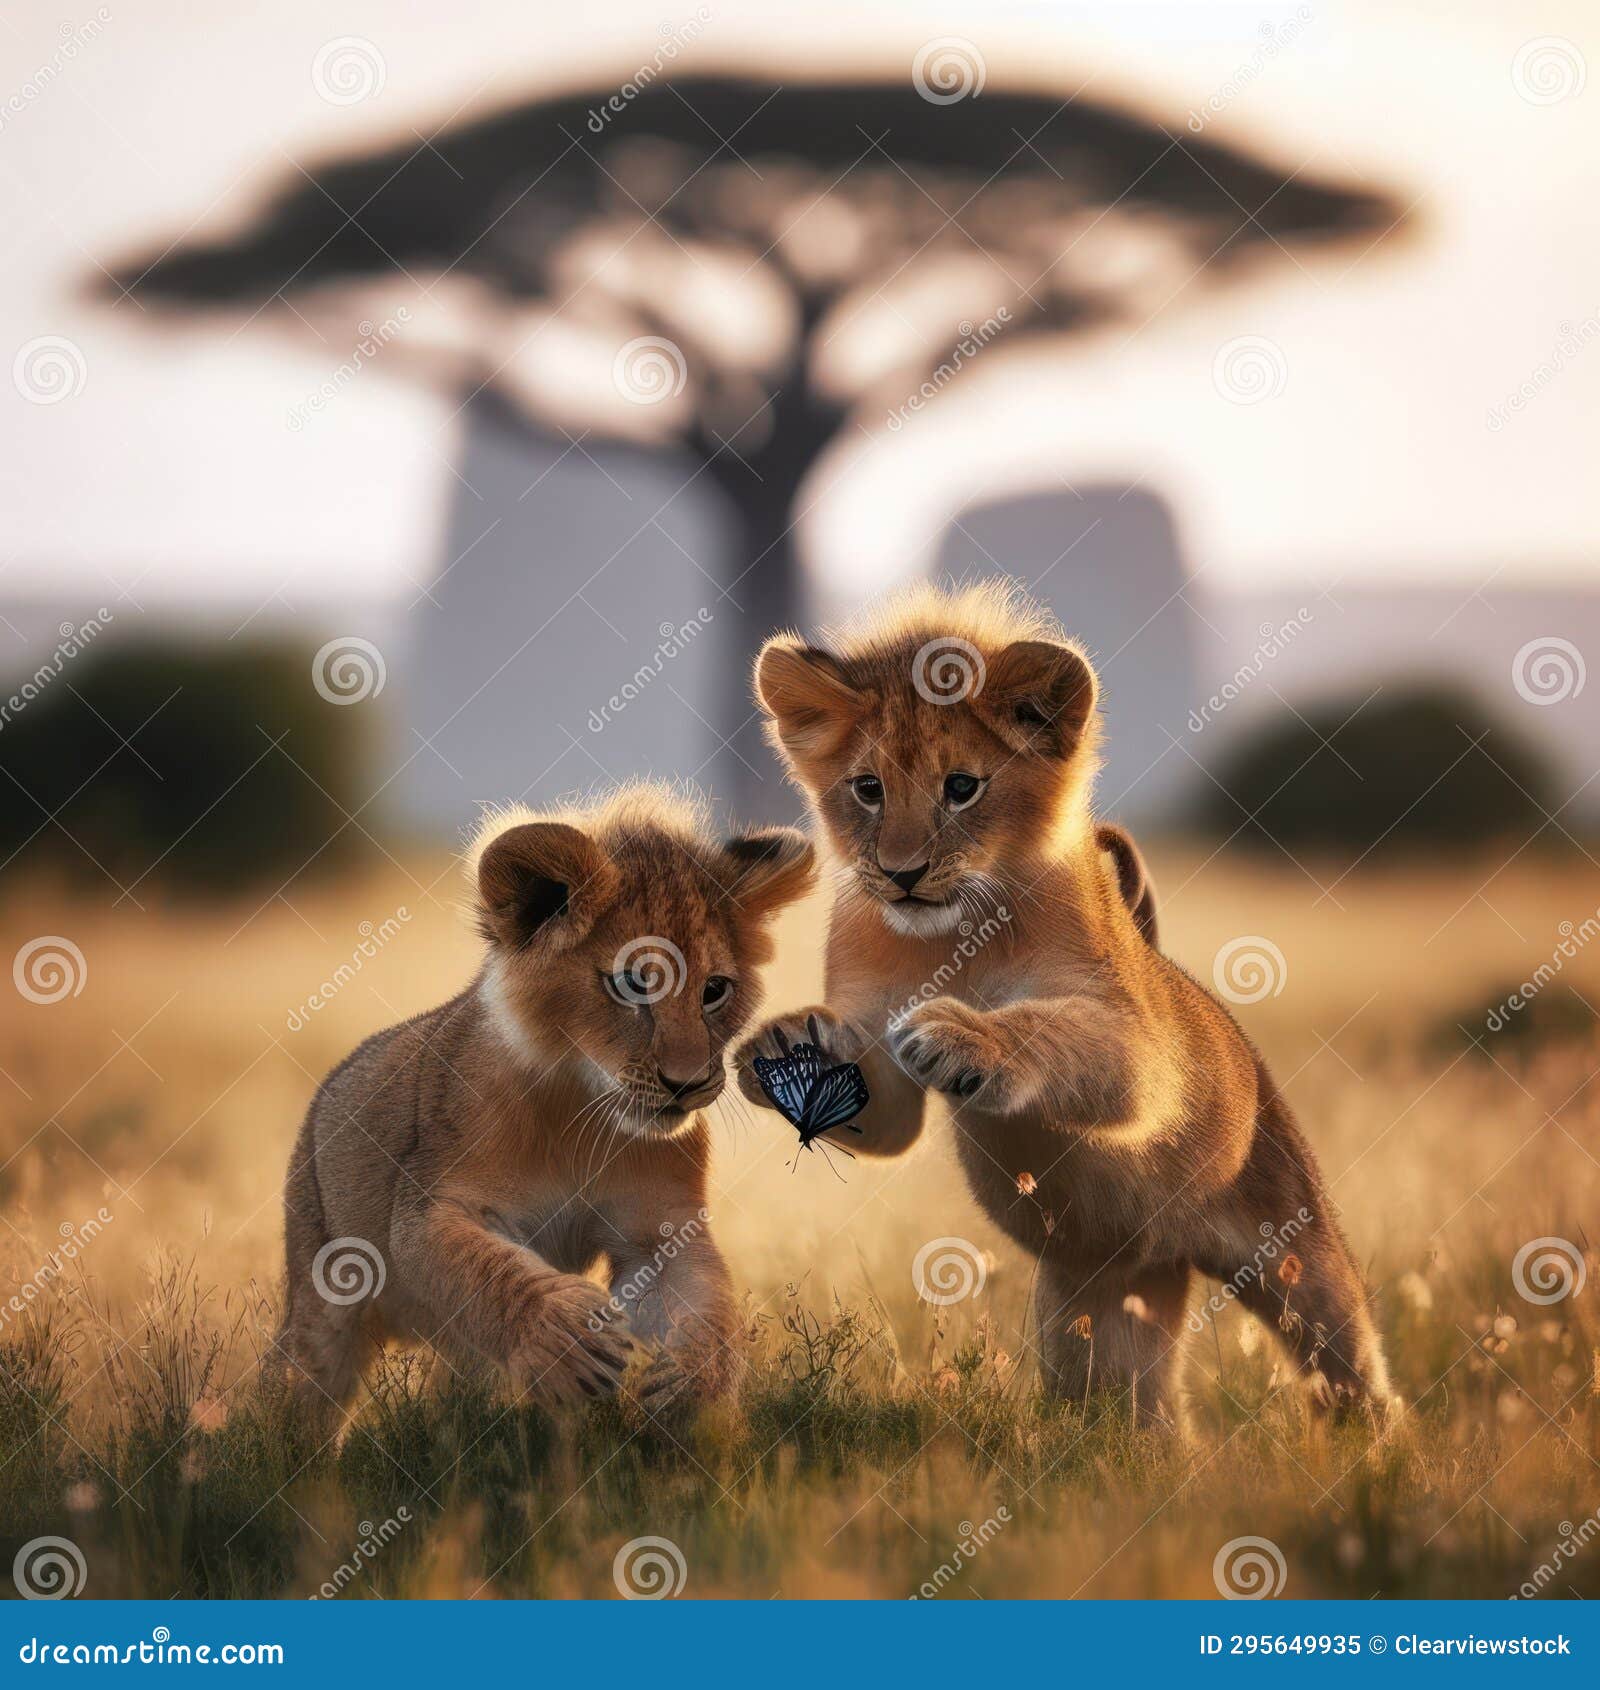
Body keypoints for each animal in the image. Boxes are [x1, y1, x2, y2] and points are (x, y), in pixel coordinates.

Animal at [276, 783, 815, 1423]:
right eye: (634, 982)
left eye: (714, 991)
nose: (685, 1083)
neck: (580, 1109)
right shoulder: (428, 1211)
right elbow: (489, 1273)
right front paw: (570, 1341)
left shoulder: (660, 1228)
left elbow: (708, 1305)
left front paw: (691, 1387)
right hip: (319, 1297)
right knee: (302, 1390)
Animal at [734, 580, 1392, 1426]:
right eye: (867, 788)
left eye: (962, 787)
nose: (902, 873)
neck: (954, 936)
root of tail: (1174, 1244)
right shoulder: (878, 1053)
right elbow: (881, 1110)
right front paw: (781, 1048)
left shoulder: (1140, 1046)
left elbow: (1054, 1031)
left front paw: (966, 1040)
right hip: (1099, 1298)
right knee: (1130, 1406)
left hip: (1294, 1245)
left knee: (1343, 1352)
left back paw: (1376, 1442)